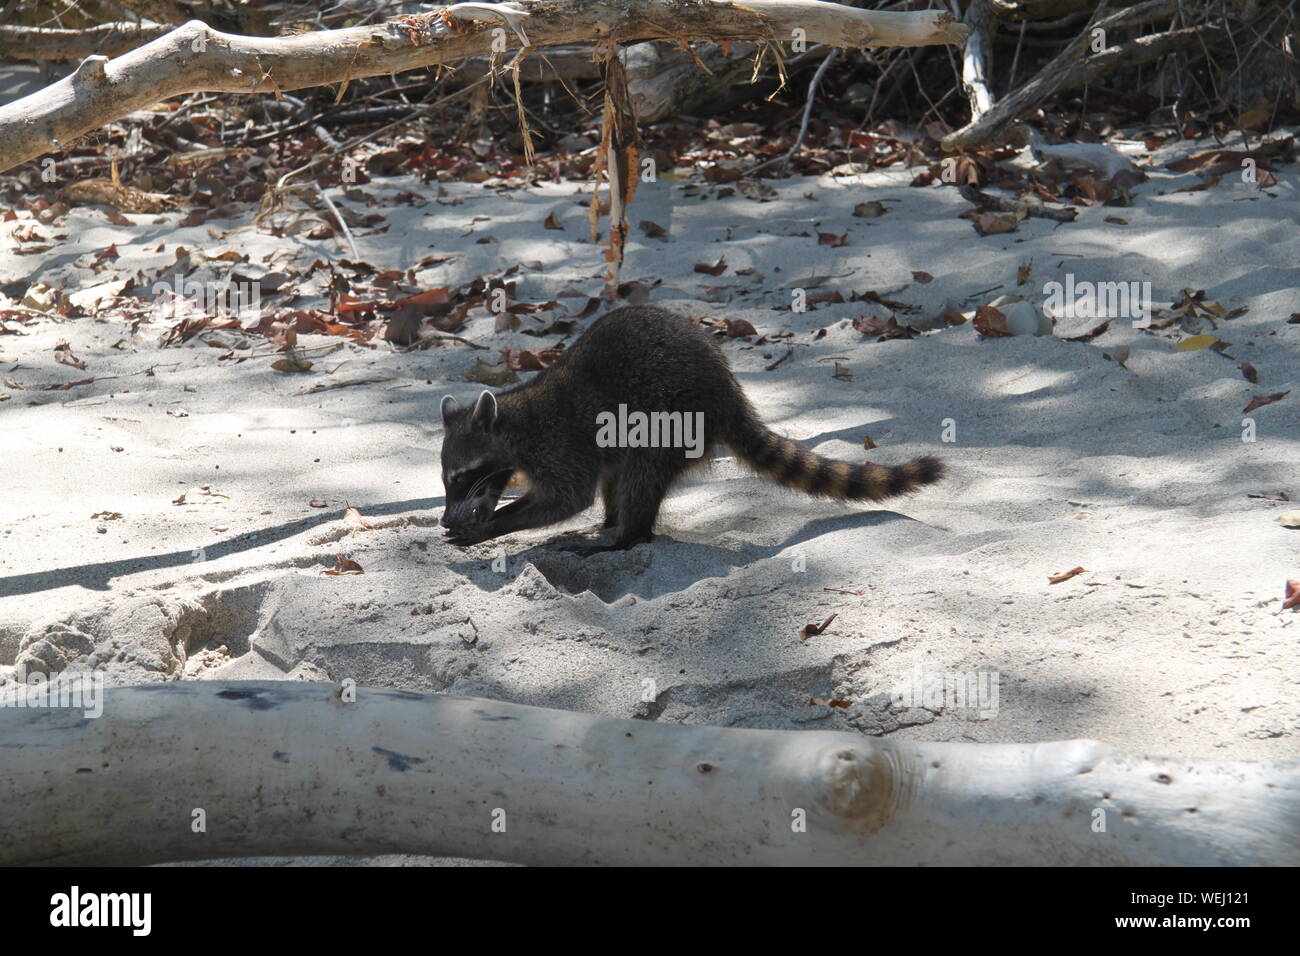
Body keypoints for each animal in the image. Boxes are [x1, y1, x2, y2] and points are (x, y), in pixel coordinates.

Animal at [440, 306, 943, 551]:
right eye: (447, 479)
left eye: (460, 477)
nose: (445, 518)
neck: (514, 420)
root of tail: (729, 394)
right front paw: (486, 517)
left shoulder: (561, 445)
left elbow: (568, 498)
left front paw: (494, 525)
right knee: (617, 477)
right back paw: (611, 524)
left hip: (674, 416)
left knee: (641, 474)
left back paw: (625, 537)